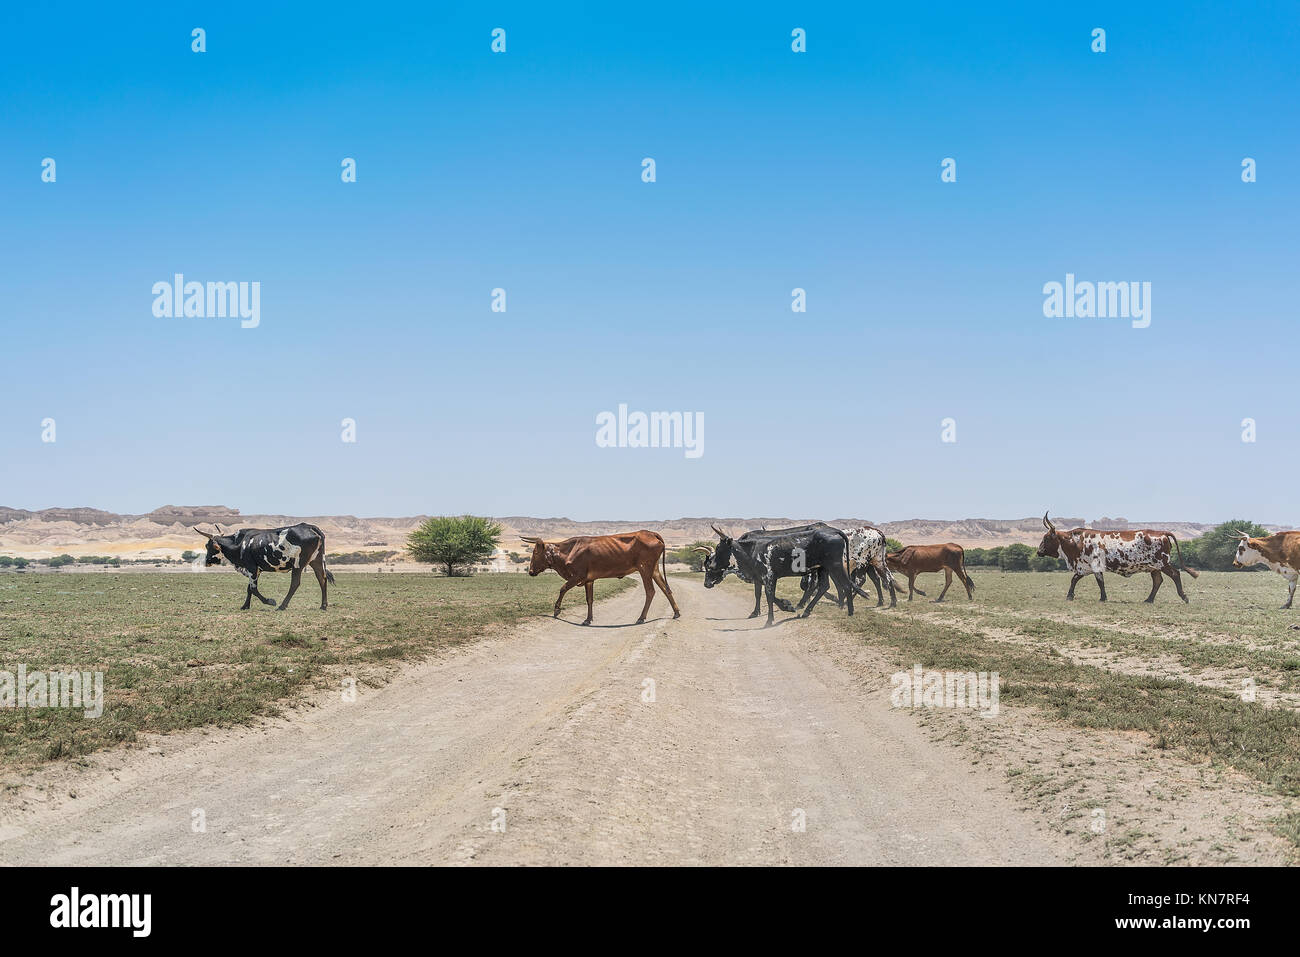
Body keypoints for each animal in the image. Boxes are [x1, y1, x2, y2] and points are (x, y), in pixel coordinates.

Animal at [195, 523, 335, 610]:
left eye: (208, 546)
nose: (206, 561)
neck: (240, 543)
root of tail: (310, 527)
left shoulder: (251, 567)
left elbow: (254, 589)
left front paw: (270, 601)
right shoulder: (256, 570)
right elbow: (249, 589)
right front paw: (245, 606)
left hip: (298, 564)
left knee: (295, 583)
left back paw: (282, 606)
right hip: (316, 561)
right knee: (322, 579)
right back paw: (323, 605)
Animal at [522, 530, 680, 625]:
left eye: (535, 553)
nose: (530, 571)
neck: (569, 551)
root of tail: (650, 533)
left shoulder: (578, 576)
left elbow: (563, 588)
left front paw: (556, 610)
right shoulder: (589, 580)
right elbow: (589, 599)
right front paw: (588, 619)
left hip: (644, 569)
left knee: (650, 591)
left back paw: (641, 618)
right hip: (654, 570)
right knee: (666, 589)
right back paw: (676, 612)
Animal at [699, 524, 872, 626]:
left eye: (719, 548)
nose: (706, 584)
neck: (752, 550)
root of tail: (832, 530)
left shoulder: (769, 576)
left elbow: (769, 596)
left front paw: (774, 616)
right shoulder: (760, 577)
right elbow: (759, 595)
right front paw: (758, 612)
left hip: (834, 566)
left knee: (845, 584)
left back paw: (849, 611)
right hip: (823, 568)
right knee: (824, 586)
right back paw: (807, 611)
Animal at [1036, 512, 1198, 603]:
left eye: (1046, 538)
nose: (1038, 552)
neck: (1076, 542)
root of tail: (1161, 532)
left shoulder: (1089, 566)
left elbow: (1078, 579)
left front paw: (1071, 596)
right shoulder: (1091, 568)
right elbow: (1095, 581)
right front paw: (1102, 597)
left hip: (1162, 563)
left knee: (1175, 574)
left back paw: (1184, 597)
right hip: (1153, 567)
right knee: (1158, 581)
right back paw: (1149, 599)